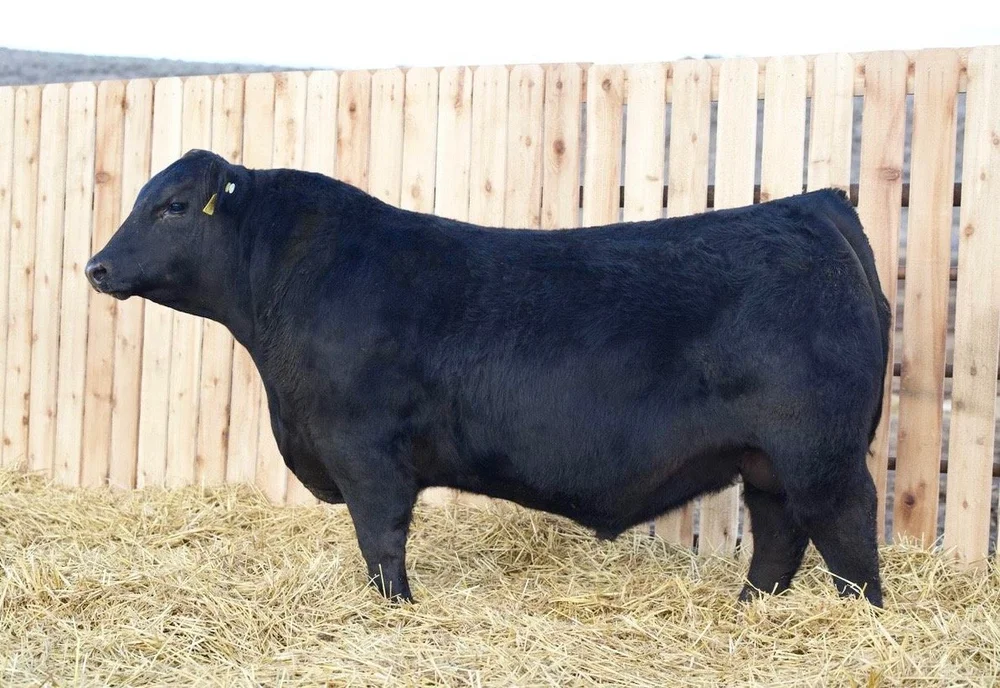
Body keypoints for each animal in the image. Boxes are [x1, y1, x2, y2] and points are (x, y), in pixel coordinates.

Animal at [85, 149, 890, 607]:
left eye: (174, 207)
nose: (96, 266)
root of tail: (815, 205)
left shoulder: (365, 449)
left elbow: (380, 539)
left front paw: (396, 610)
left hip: (822, 453)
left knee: (848, 534)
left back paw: (858, 618)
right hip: (768, 460)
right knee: (779, 534)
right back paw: (752, 610)